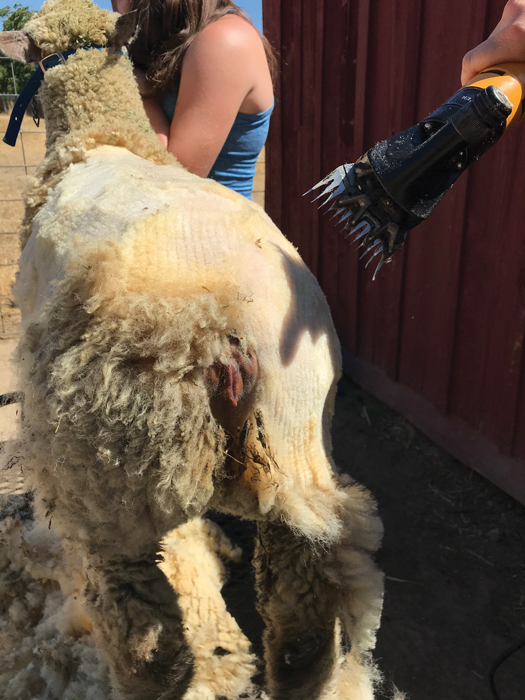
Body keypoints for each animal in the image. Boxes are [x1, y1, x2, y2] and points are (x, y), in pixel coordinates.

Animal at [0, 1, 387, 697]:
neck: (103, 136)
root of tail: (227, 334)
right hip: (299, 441)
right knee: (302, 604)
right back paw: (303, 668)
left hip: (109, 473)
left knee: (145, 633)